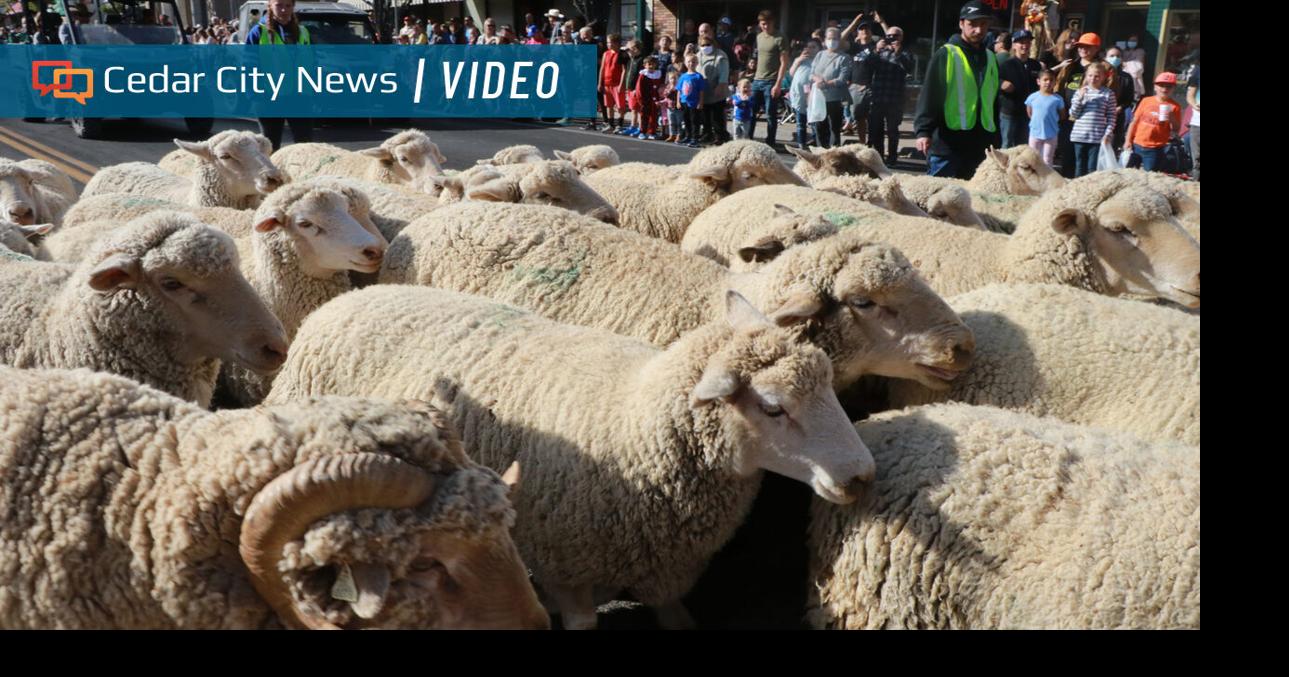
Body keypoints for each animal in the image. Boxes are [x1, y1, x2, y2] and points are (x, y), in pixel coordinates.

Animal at [266, 285, 876, 629]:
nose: (861, 476)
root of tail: (344, 299)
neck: (631, 420)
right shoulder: (569, 568)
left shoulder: (669, 573)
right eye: (773, 408)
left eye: (830, 386)